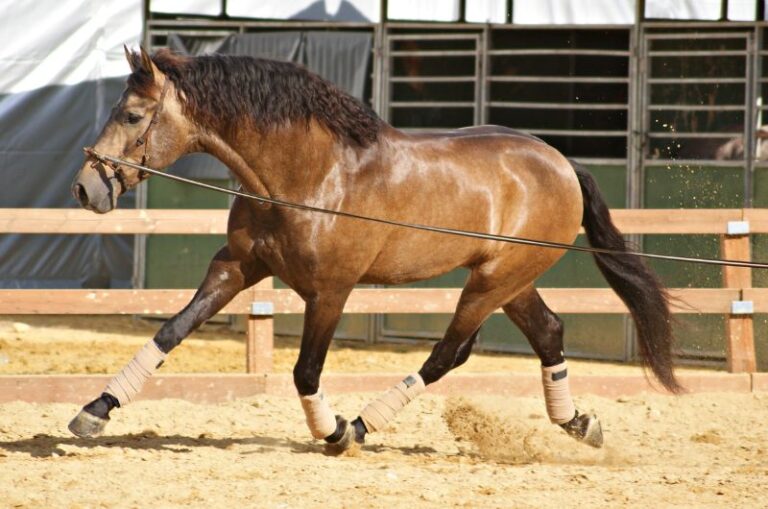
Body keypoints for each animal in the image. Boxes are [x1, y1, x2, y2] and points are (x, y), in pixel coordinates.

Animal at [68, 47, 680, 454]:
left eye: (132, 115)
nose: (85, 188)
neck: (308, 175)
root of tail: (559, 162)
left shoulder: (330, 292)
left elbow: (305, 372)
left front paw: (334, 431)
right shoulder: (237, 266)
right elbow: (171, 330)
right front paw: (93, 412)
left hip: (491, 283)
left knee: (449, 354)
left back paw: (362, 425)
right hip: (509, 280)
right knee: (548, 333)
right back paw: (579, 423)